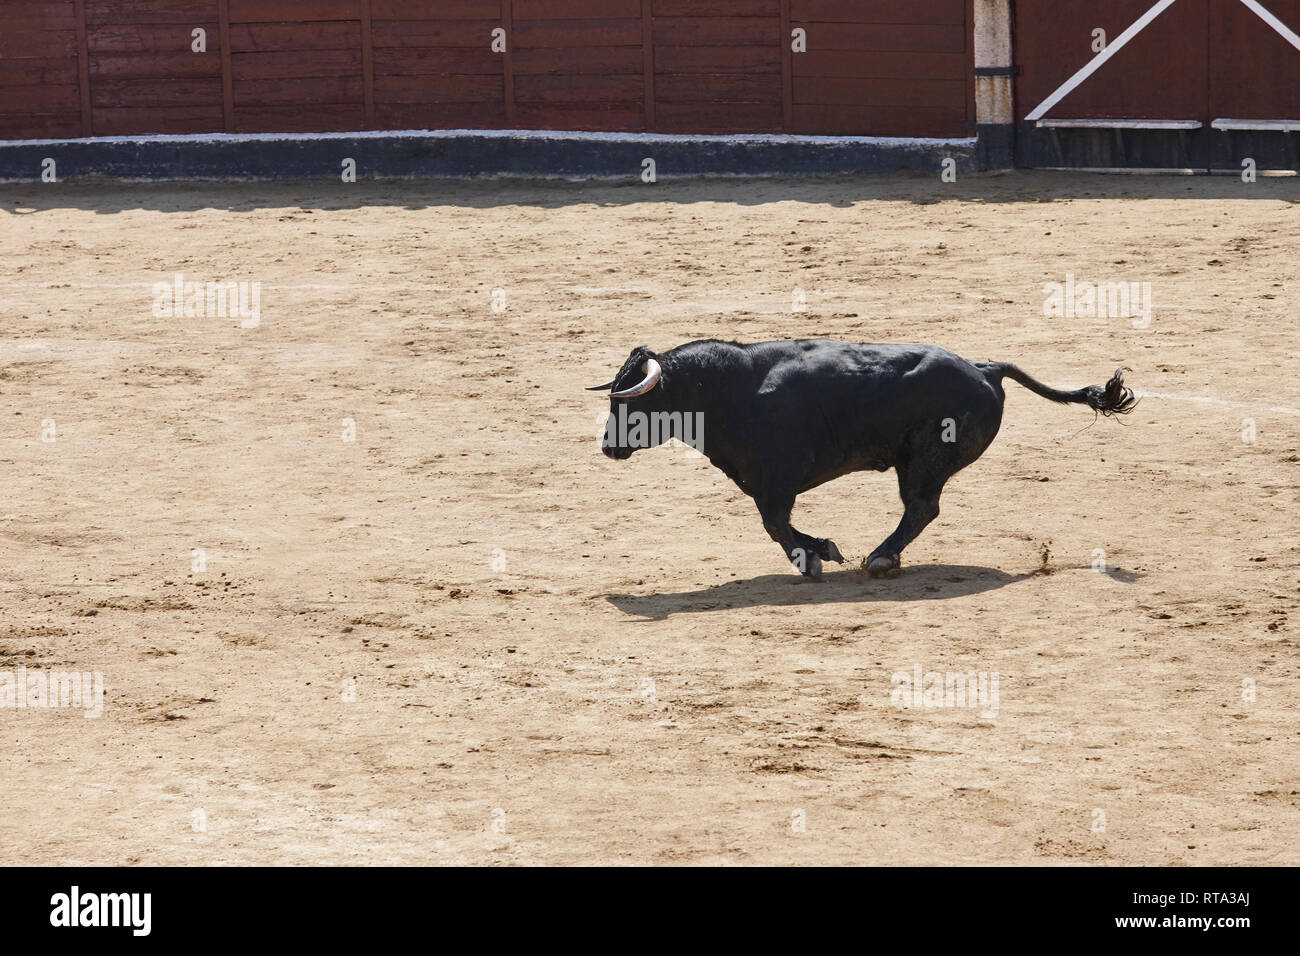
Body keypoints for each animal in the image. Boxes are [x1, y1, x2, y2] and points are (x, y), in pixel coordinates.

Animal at [588, 339, 1136, 580]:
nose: (608, 446)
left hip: (924, 460)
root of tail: (984, 367)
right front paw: (822, 549)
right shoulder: (763, 481)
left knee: (921, 508)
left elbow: (774, 523)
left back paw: (881, 558)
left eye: (629, 403)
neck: (729, 390)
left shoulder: (777, 478)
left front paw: (812, 559)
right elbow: (778, 522)